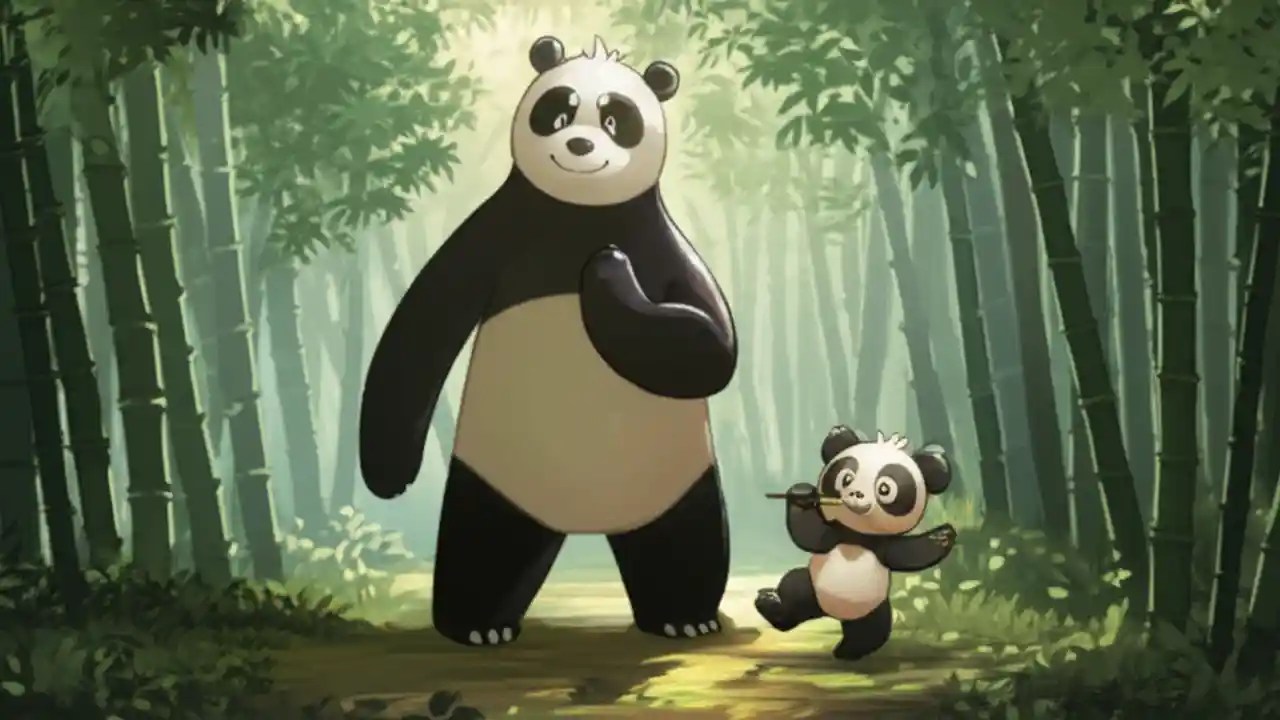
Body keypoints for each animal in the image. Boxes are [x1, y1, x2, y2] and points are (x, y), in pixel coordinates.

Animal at [359, 35, 738, 648]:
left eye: (616, 120)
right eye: (557, 112)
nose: (580, 144)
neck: (579, 213)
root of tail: (586, 520)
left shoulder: (660, 248)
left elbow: (709, 344)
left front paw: (607, 268)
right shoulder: (496, 236)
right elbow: (422, 326)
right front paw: (389, 478)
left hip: (679, 479)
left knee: (689, 541)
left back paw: (684, 617)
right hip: (496, 481)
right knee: (482, 544)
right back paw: (478, 626)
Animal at [755, 425, 957, 661]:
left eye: (885, 489)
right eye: (846, 478)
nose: (856, 494)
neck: (857, 536)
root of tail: (831, 612)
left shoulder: (881, 545)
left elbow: (908, 554)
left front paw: (943, 535)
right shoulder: (836, 534)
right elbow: (809, 535)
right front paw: (802, 495)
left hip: (872, 608)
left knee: (871, 632)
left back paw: (848, 651)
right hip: (811, 586)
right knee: (793, 589)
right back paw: (772, 604)